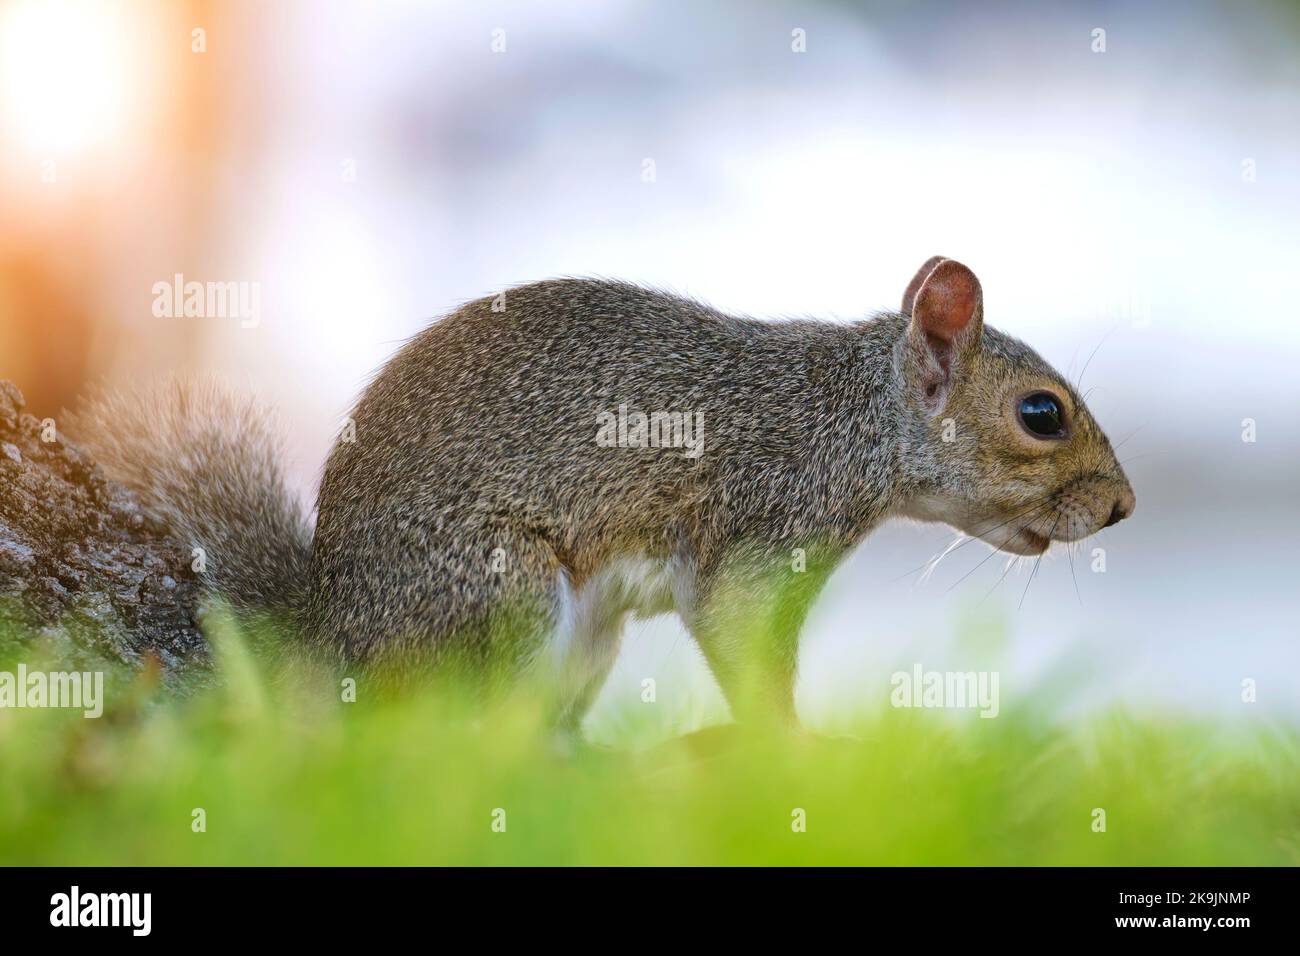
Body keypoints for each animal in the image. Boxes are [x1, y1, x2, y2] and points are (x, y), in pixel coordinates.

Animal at [70, 257, 1134, 736]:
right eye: (1042, 413)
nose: (1123, 507)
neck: (848, 423)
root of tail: (335, 635)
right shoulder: (756, 535)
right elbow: (746, 646)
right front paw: (788, 750)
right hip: (504, 592)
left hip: (580, 640)